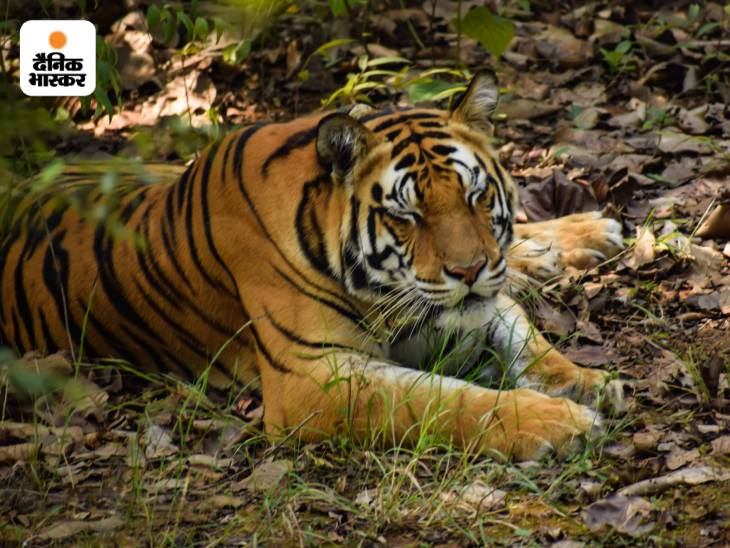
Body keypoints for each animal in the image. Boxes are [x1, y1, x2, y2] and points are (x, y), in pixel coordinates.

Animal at [0, 72, 625, 461]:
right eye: (408, 214)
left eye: (474, 196)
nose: (468, 270)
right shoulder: (311, 378)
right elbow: (443, 400)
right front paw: (557, 424)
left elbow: (521, 329)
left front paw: (587, 382)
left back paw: (589, 234)